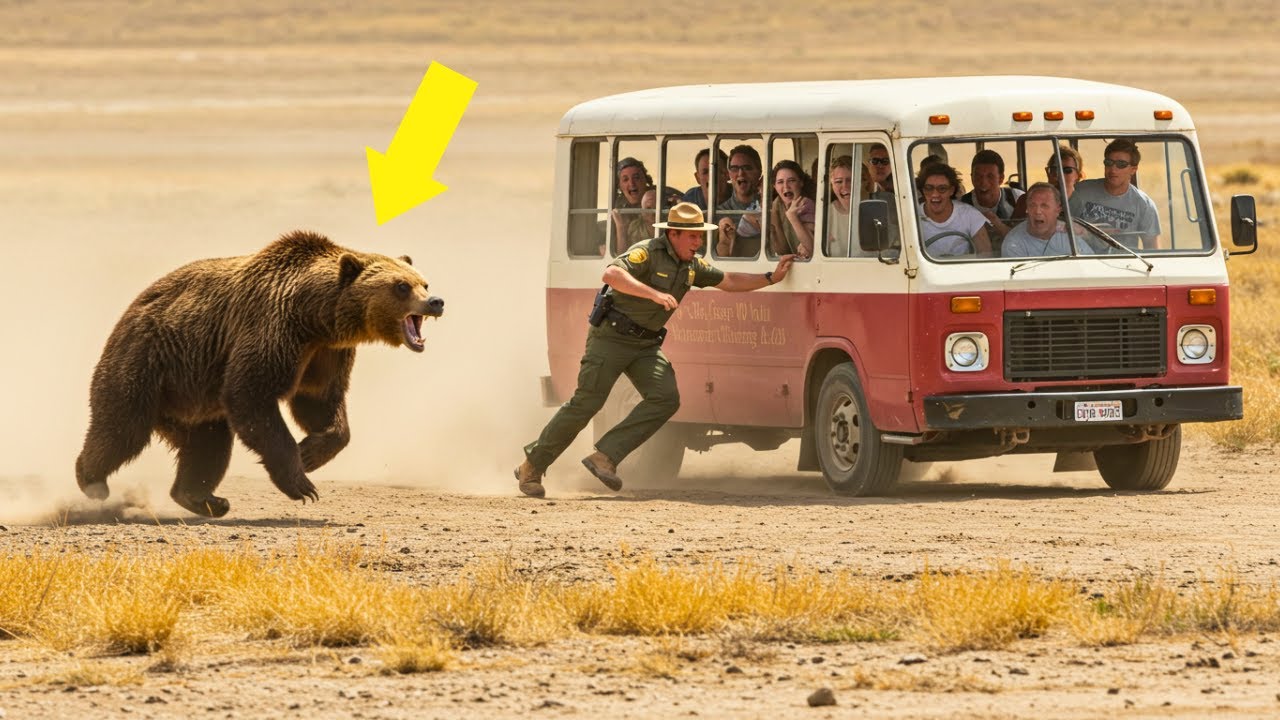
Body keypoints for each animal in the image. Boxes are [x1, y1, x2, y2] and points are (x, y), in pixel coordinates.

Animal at [75, 230, 444, 518]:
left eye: (423, 282)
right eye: (401, 286)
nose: (436, 301)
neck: (315, 317)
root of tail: (130, 309)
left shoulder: (326, 354)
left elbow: (320, 402)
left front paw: (311, 453)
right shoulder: (274, 329)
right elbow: (251, 395)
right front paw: (302, 481)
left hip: (195, 395)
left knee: (208, 442)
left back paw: (205, 499)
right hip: (149, 360)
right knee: (123, 426)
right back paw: (92, 480)